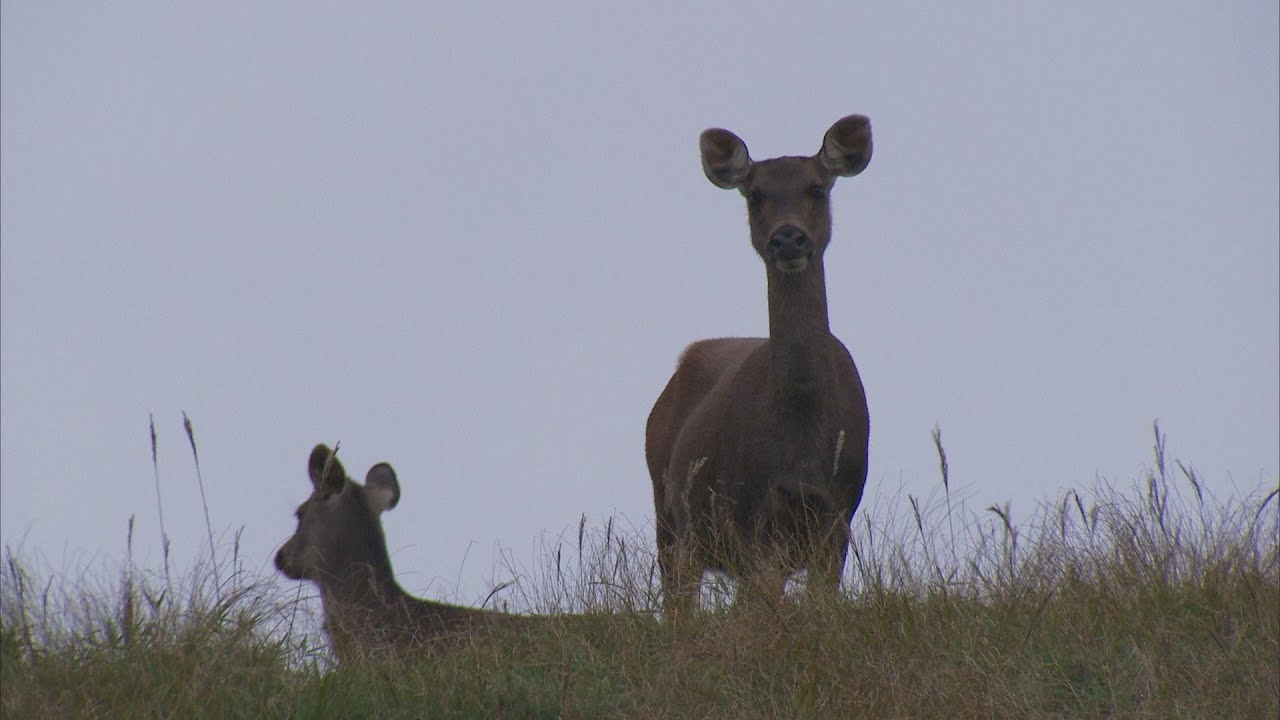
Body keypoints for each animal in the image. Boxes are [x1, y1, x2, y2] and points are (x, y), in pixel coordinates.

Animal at [645, 115, 873, 618]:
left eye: (816, 188)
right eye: (755, 194)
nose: (787, 237)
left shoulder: (837, 516)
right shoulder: (750, 519)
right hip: (671, 516)